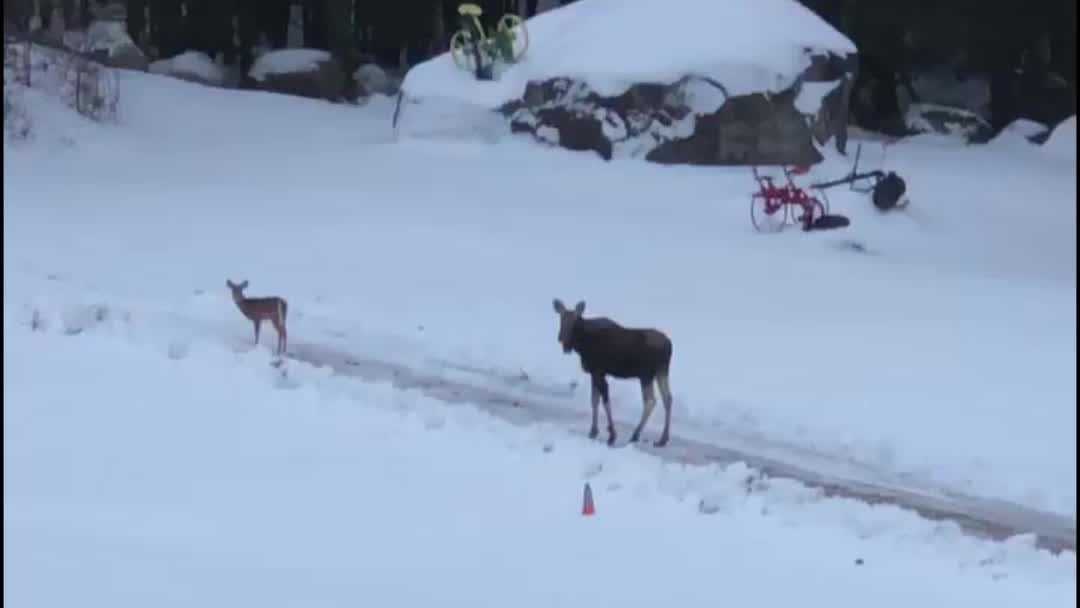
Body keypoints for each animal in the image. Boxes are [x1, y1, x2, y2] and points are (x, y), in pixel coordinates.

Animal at [552, 299, 674, 447]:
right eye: (561, 318)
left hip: (646, 374)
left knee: (650, 401)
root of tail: (669, 345)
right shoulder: (595, 373)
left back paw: (635, 434)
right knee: (668, 398)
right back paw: (663, 439)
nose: (562, 340)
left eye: (575, 321)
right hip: (661, 372)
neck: (582, 344)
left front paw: (612, 435)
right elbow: (594, 400)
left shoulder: (598, 371)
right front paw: (593, 431)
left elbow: (604, 400)